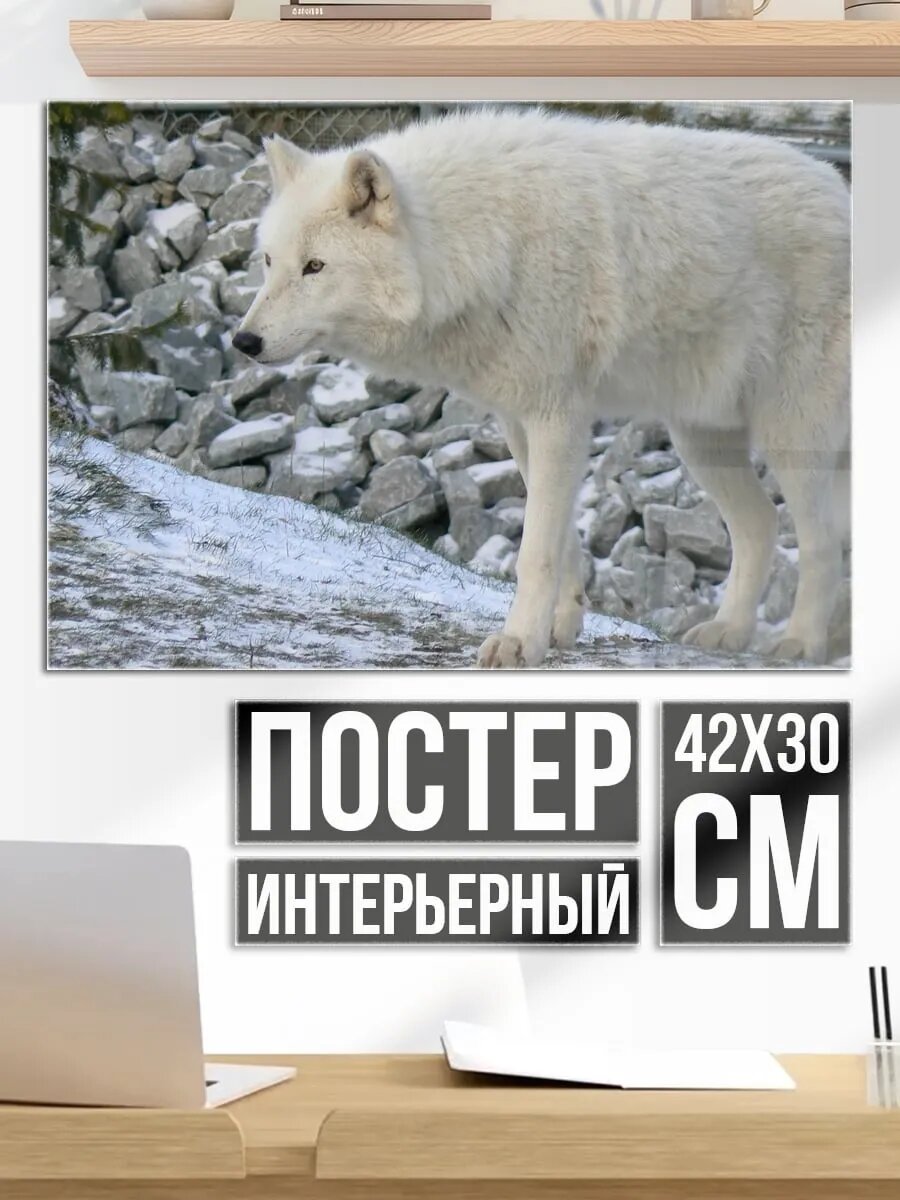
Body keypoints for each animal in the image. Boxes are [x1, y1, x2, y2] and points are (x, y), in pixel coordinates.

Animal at [235, 108, 850, 669]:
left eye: (315, 267)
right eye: (269, 261)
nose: (244, 341)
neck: (480, 240)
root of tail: (839, 187)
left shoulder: (559, 417)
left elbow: (535, 552)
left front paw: (516, 642)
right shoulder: (521, 420)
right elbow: (561, 542)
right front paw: (558, 628)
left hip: (790, 435)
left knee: (821, 541)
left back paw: (800, 643)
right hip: (702, 439)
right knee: (760, 525)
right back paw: (728, 632)